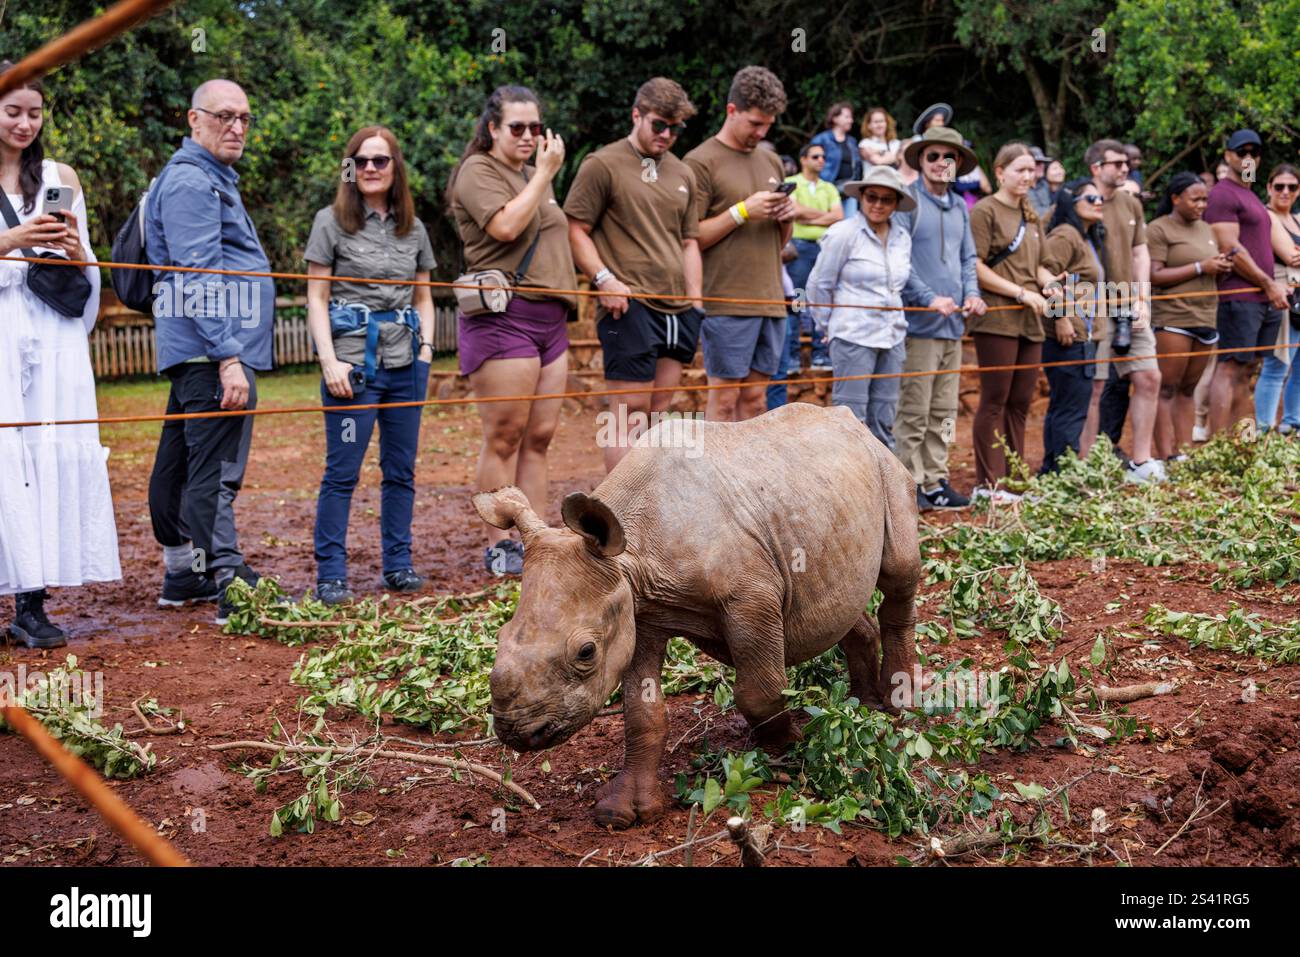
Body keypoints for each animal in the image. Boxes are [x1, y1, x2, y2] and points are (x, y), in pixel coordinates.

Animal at [472, 402, 921, 829]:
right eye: (500, 637)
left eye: (586, 652)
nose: (517, 732)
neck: (632, 551)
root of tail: (850, 420)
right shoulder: (638, 612)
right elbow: (642, 712)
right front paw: (623, 812)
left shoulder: (750, 598)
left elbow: (759, 691)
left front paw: (792, 748)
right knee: (842, 602)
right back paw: (863, 706)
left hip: (884, 467)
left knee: (900, 572)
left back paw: (898, 702)